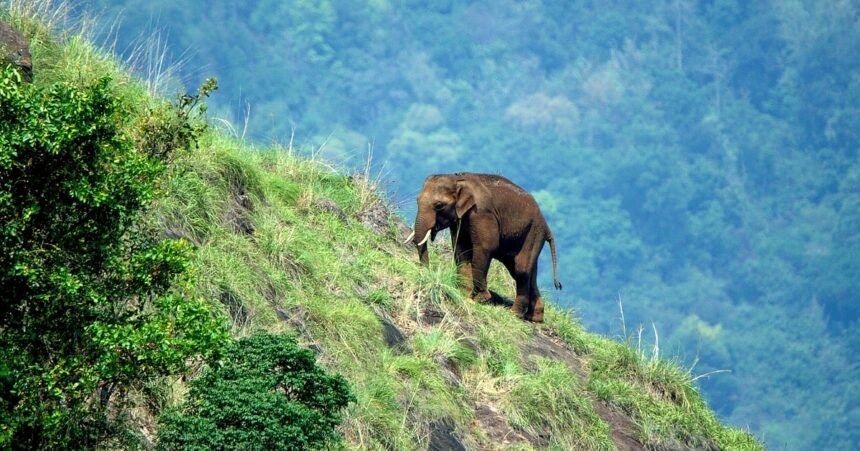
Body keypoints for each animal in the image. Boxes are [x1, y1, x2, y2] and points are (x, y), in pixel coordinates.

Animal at [405, 173, 561, 322]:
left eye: (439, 205)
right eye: (417, 200)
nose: (426, 273)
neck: (457, 179)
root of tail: (547, 227)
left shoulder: (482, 214)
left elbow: (485, 248)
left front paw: (481, 299)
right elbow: (461, 248)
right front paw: (463, 293)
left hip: (534, 233)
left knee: (521, 270)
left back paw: (515, 314)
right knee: (527, 271)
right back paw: (535, 317)